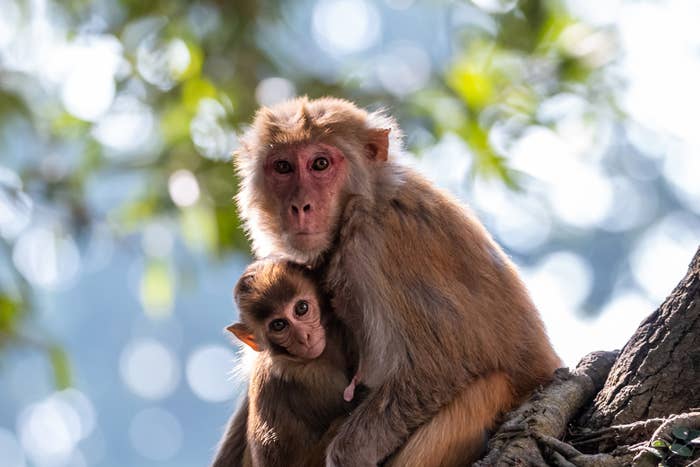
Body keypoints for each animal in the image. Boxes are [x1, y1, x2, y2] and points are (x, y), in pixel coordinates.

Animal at [234, 96, 562, 466]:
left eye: (320, 164)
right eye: (283, 167)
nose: (300, 206)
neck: (365, 202)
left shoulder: (374, 247)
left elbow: (438, 368)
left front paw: (347, 455)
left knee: (486, 387)